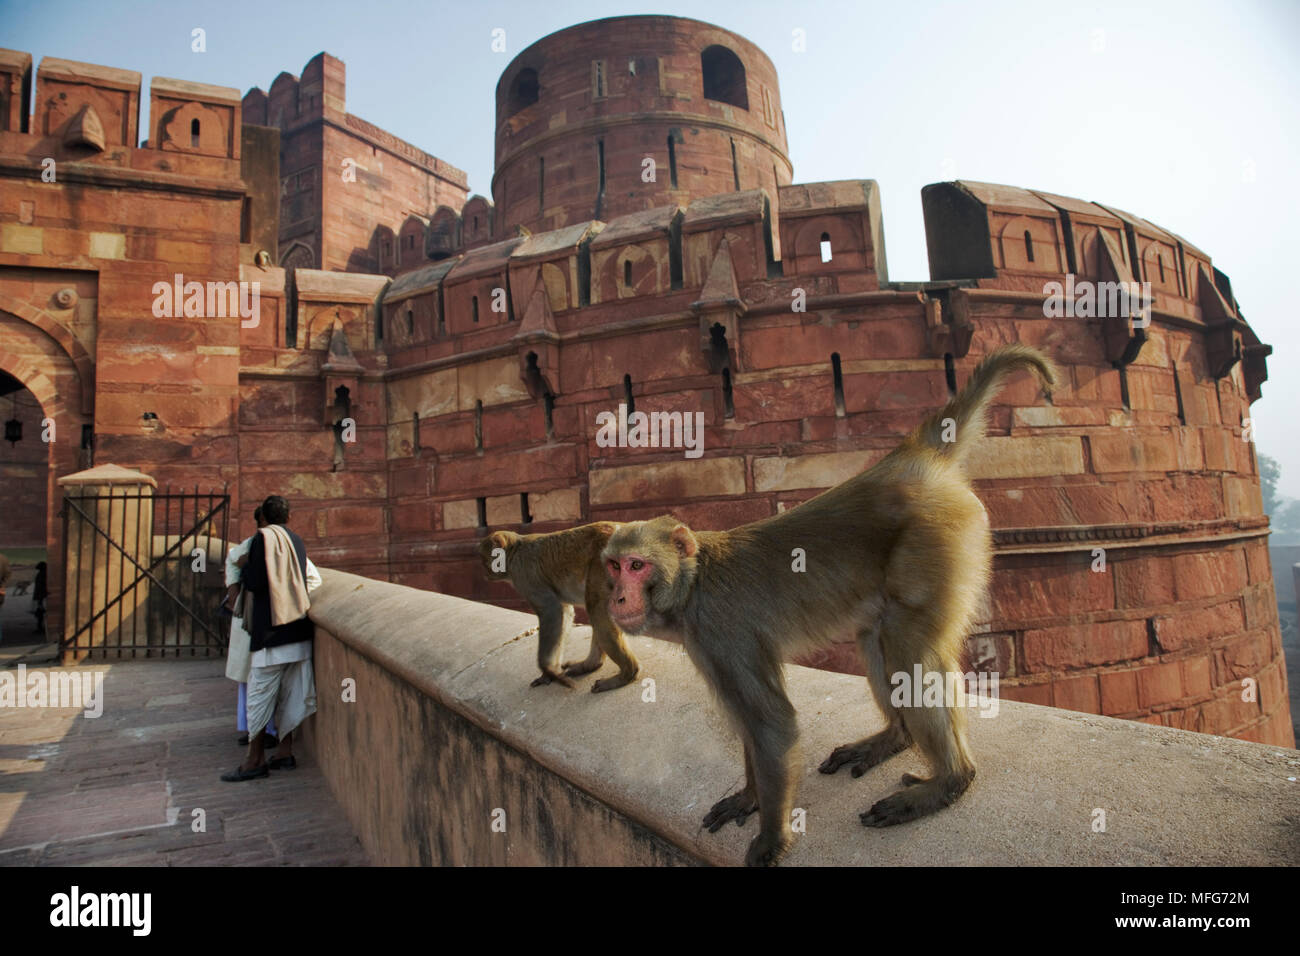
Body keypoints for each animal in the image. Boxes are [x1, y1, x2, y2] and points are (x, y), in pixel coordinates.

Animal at [479, 522, 641, 693]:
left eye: (483, 558)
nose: (484, 571)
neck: (514, 552)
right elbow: (565, 612)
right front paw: (550, 672)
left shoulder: (524, 576)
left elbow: (552, 610)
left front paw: (547, 670)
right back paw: (590, 665)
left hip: (606, 564)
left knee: (596, 606)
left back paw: (628, 672)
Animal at [602, 345, 1056, 866]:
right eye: (613, 565)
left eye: (637, 566)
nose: (617, 595)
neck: (693, 584)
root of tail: (911, 459)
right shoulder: (707, 644)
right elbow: (750, 724)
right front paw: (750, 796)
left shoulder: (721, 633)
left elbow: (772, 723)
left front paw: (771, 837)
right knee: (876, 638)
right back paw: (894, 738)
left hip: (937, 536)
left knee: (908, 649)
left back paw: (948, 781)